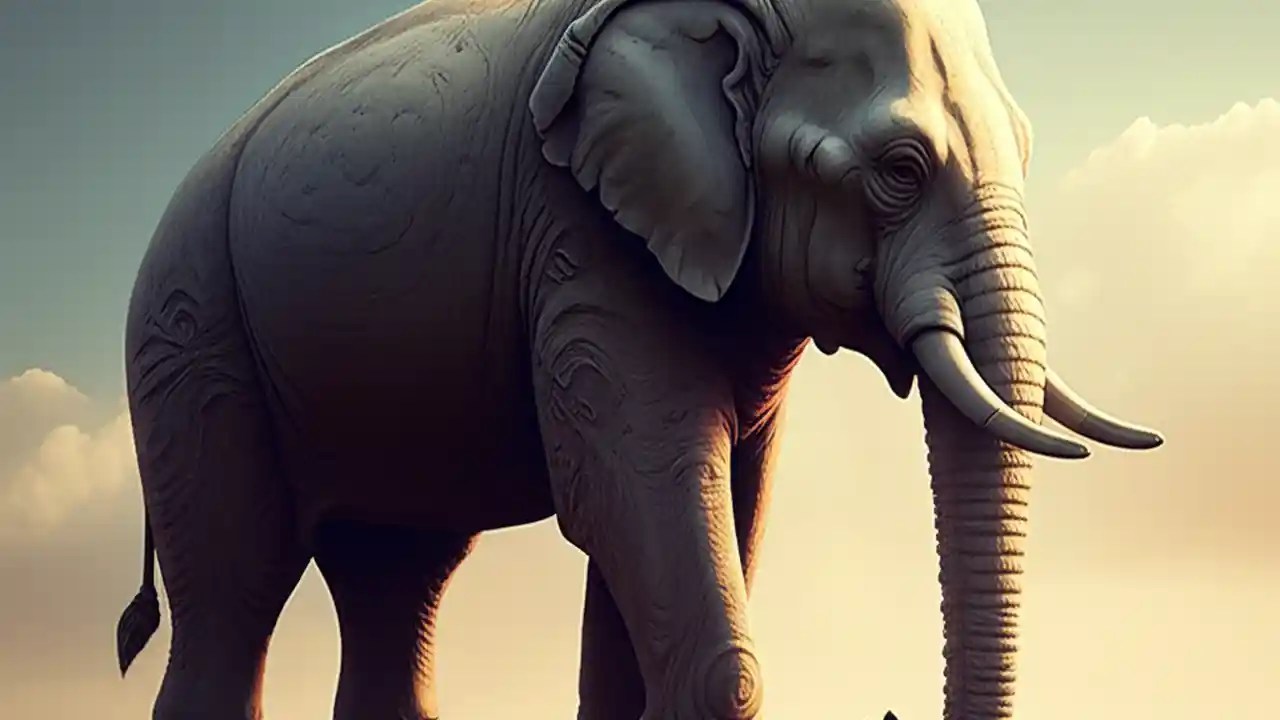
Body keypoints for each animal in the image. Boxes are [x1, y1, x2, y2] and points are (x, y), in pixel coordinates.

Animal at [113, 0, 1164, 717]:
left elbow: (722, 501)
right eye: (900, 169)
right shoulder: (580, 233)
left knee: (395, 588)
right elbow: (635, 492)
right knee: (231, 600)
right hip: (192, 333)